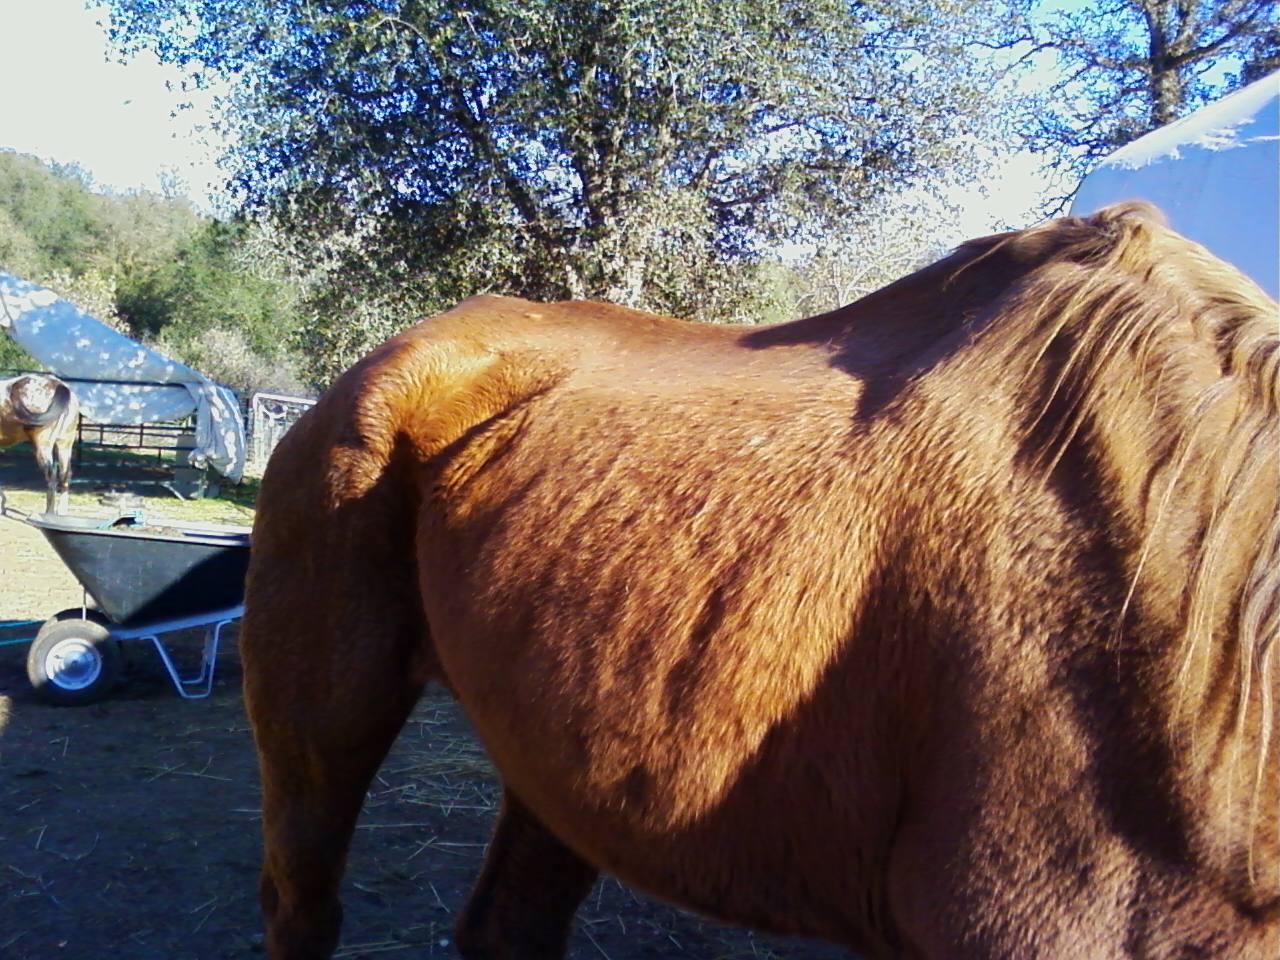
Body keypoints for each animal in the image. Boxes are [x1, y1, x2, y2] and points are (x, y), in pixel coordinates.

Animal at [0, 373, 80, 515]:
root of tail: (59, 385)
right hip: (64, 444)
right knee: (65, 475)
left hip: (43, 445)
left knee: (51, 477)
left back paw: (49, 513)